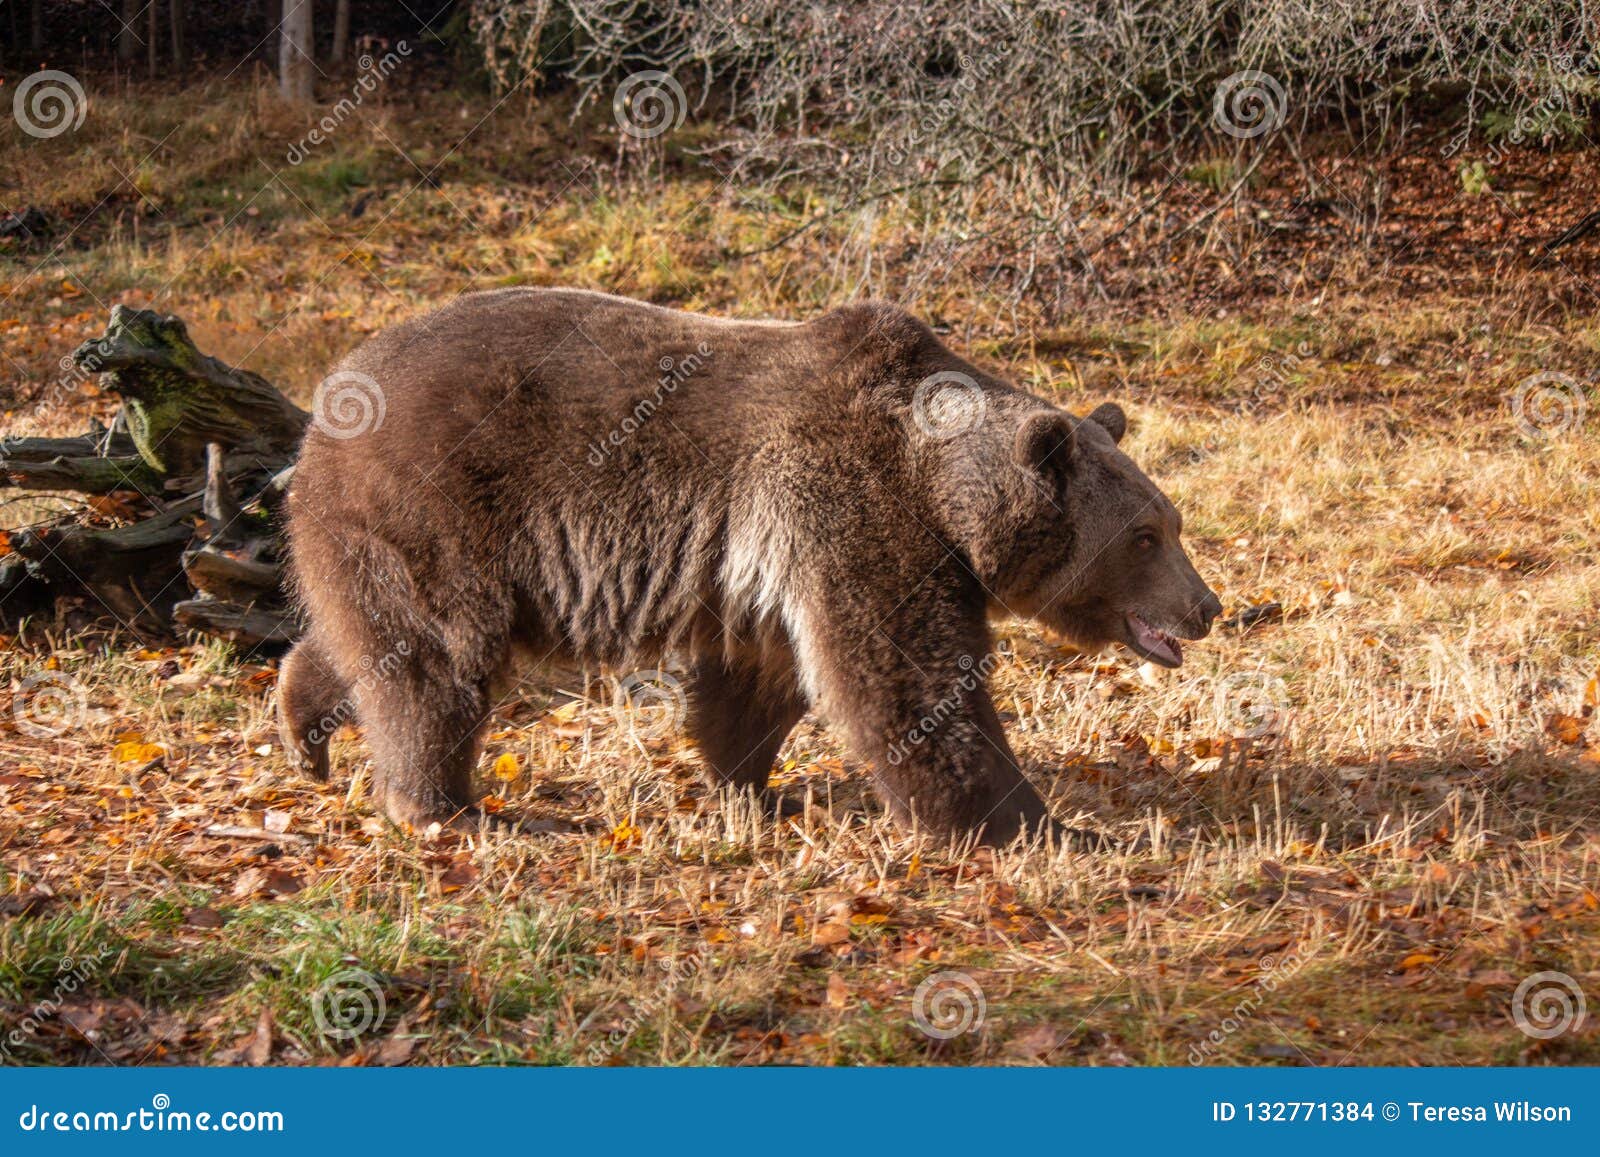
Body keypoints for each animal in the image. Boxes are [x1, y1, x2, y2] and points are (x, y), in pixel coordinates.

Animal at [278, 288, 1221, 844]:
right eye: (1145, 536)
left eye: (1171, 521)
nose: (1208, 606)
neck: (939, 486)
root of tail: (329, 395)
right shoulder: (855, 506)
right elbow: (906, 681)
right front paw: (1030, 822)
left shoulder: (772, 560)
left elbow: (762, 679)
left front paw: (754, 786)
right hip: (438, 506)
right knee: (440, 652)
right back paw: (439, 803)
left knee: (367, 634)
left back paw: (303, 721)